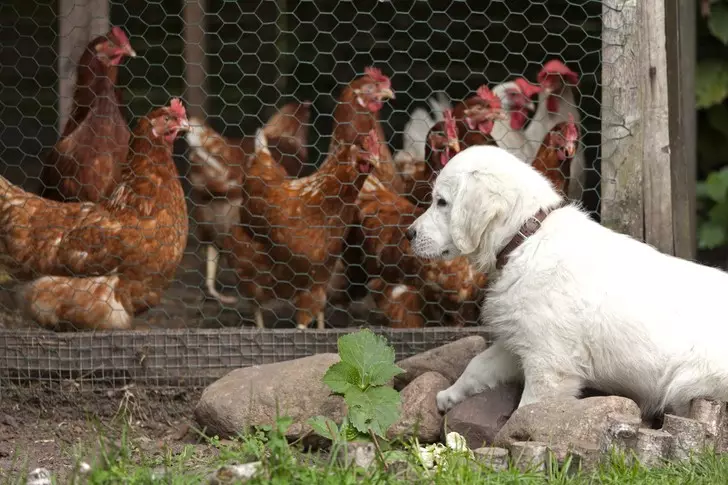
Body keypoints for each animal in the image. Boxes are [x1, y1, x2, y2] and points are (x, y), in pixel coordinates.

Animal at [410, 143, 728, 416]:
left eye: (441, 202)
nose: (409, 233)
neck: (526, 237)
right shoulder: (521, 340)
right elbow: (479, 364)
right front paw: (449, 395)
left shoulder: (550, 364)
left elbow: (529, 410)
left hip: (690, 380)